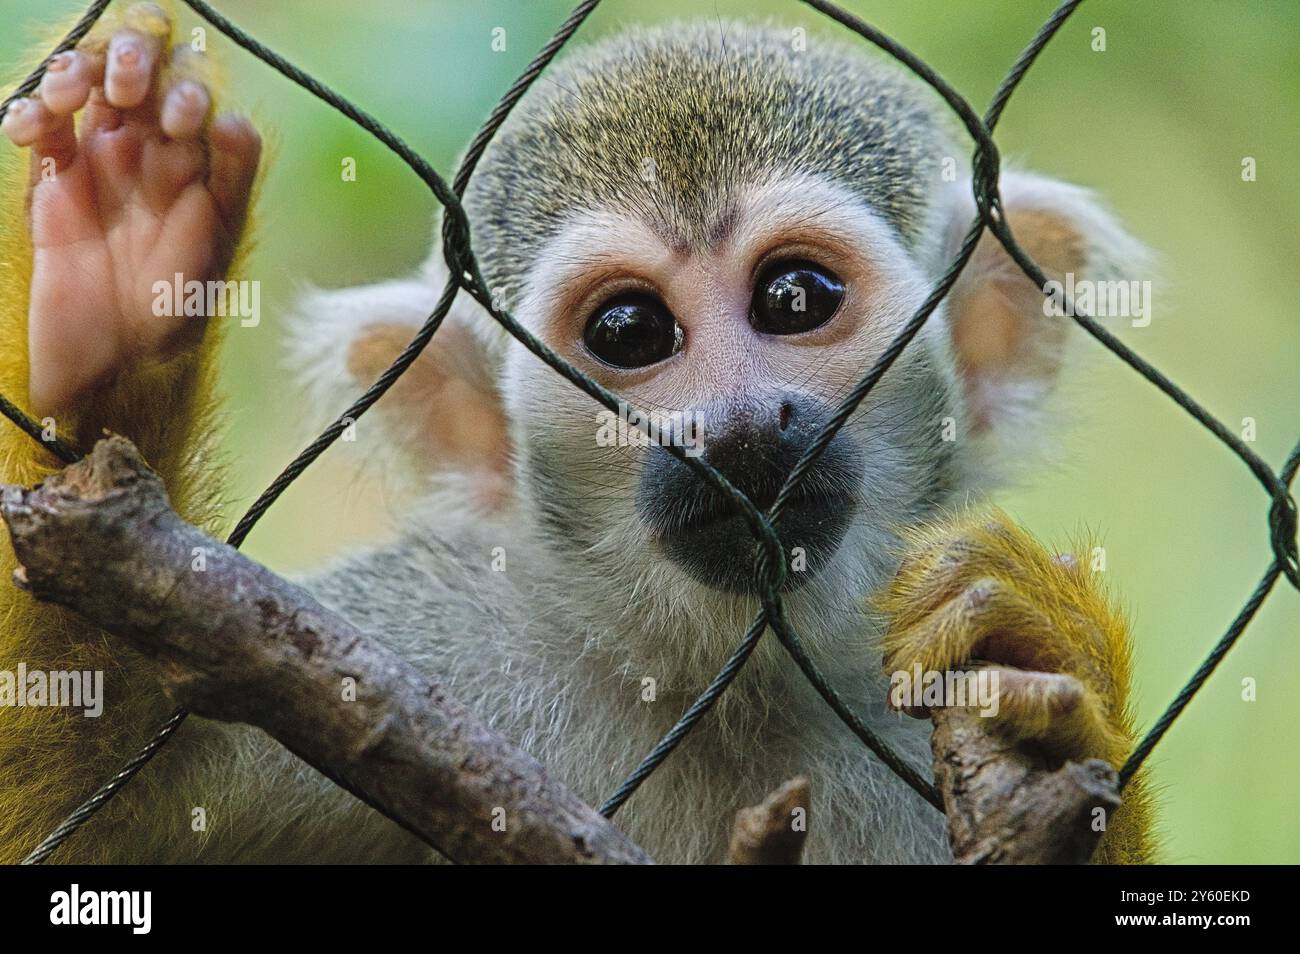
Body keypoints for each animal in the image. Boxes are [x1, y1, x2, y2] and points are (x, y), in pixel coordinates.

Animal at [0, 3, 1154, 864]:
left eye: (794, 298)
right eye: (629, 331)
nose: (738, 424)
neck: (726, 683)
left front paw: (1056, 671)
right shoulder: (430, 645)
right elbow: (77, 835)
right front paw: (116, 310)